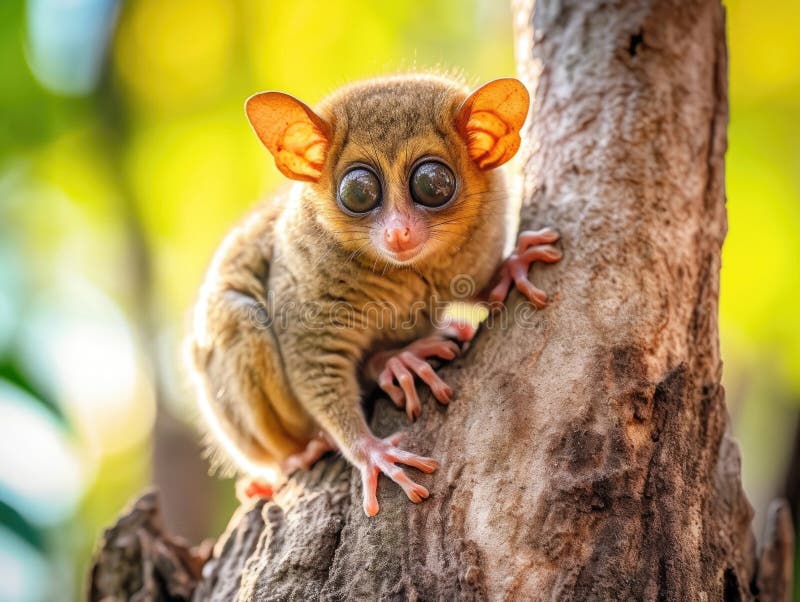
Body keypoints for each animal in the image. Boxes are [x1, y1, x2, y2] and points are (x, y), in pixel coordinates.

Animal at [187, 73, 562, 516]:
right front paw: (372, 453)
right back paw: (309, 446)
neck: (406, 270)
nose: (398, 232)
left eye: (433, 185)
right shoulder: (305, 281)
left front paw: (515, 265)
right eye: (359, 193)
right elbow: (311, 362)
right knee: (241, 318)